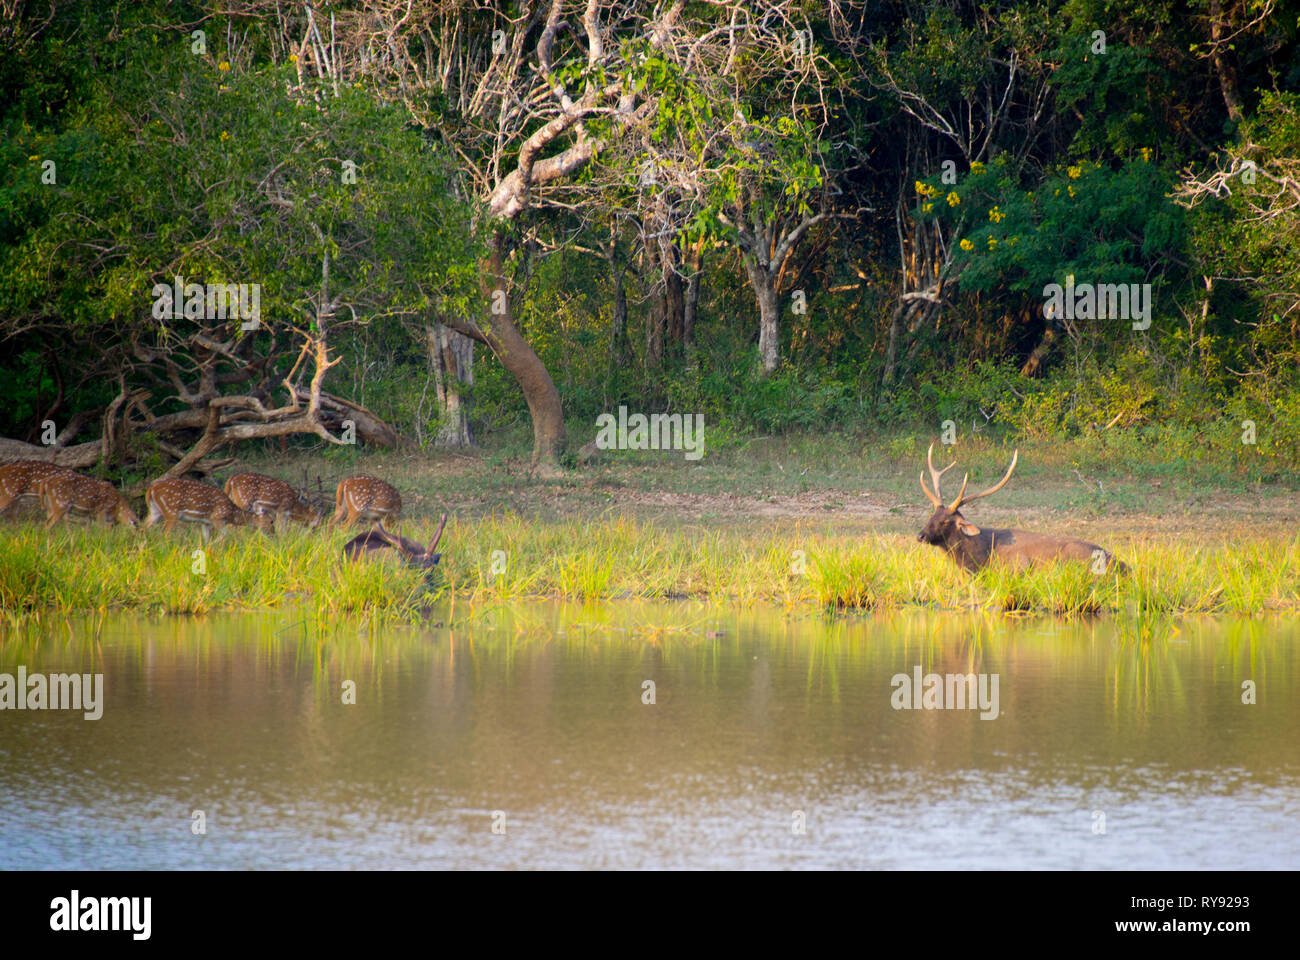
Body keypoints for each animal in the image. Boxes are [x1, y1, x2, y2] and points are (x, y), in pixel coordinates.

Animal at [918, 444, 1127, 574]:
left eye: (946, 521)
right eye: (931, 515)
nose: (920, 535)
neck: (979, 556)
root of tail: (1125, 568)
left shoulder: (1017, 566)